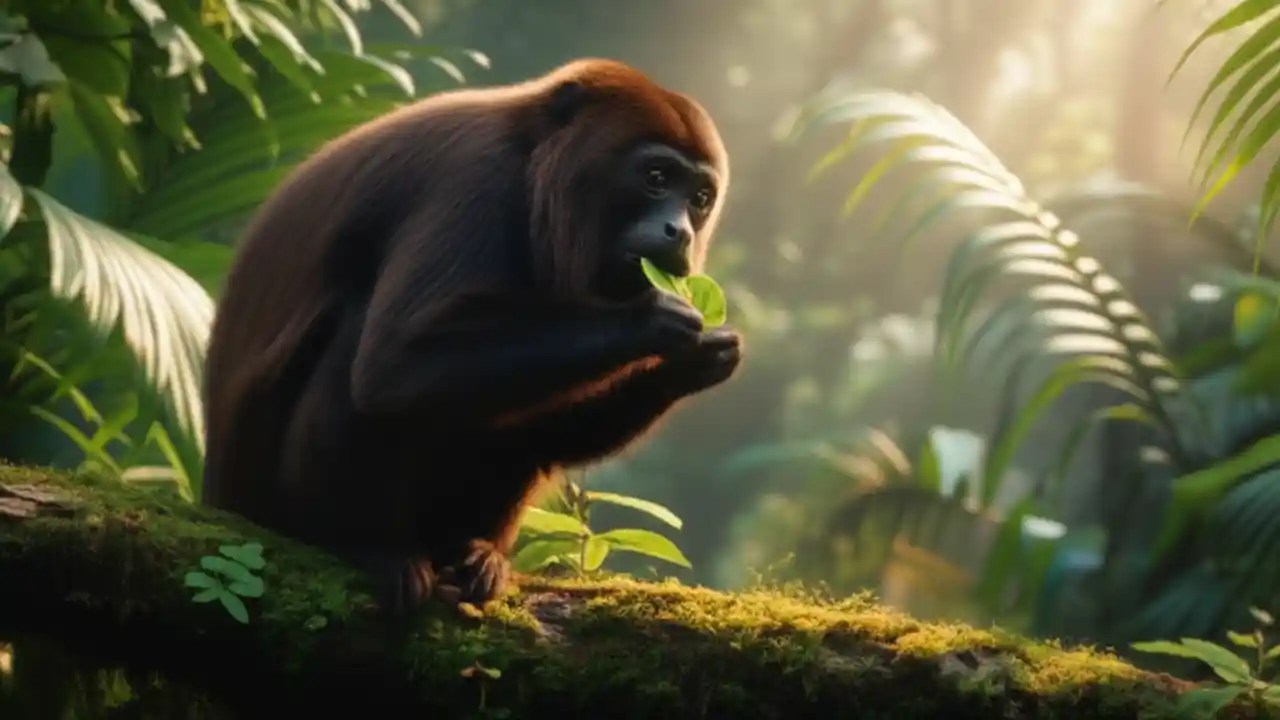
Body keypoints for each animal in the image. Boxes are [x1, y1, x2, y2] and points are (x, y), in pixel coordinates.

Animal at [199, 58, 740, 614]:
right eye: (656, 178)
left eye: (699, 199)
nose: (682, 231)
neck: (535, 162)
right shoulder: (476, 178)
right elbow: (395, 365)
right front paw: (649, 320)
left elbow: (554, 434)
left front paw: (696, 361)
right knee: (359, 336)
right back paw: (364, 545)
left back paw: (477, 555)